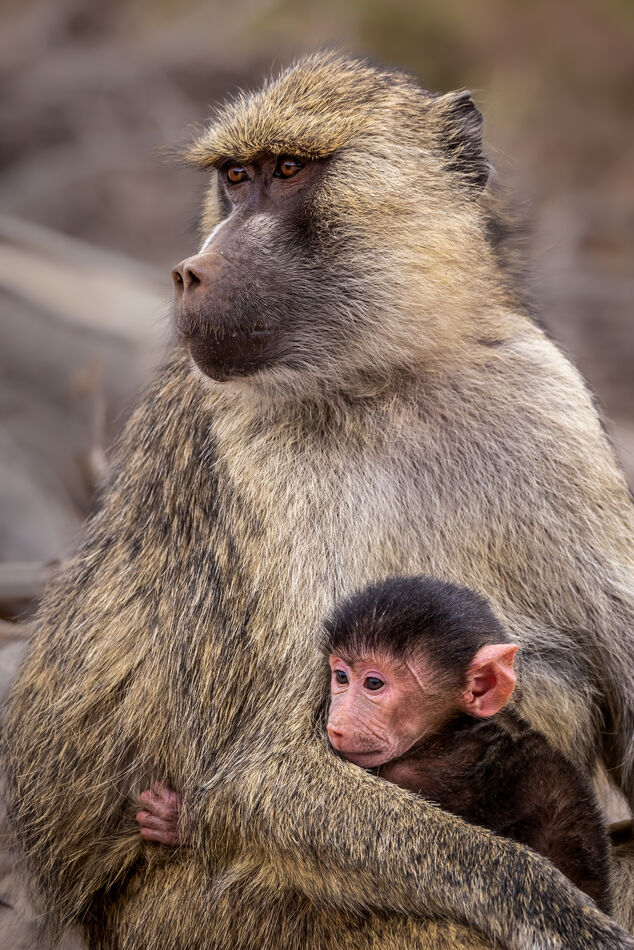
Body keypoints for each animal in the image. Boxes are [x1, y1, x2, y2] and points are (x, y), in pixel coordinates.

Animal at [4, 51, 634, 950]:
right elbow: (265, 774)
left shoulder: (543, 394)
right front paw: (570, 921)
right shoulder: (249, 464)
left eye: (289, 171)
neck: (386, 380)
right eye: (235, 178)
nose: (191, 272)